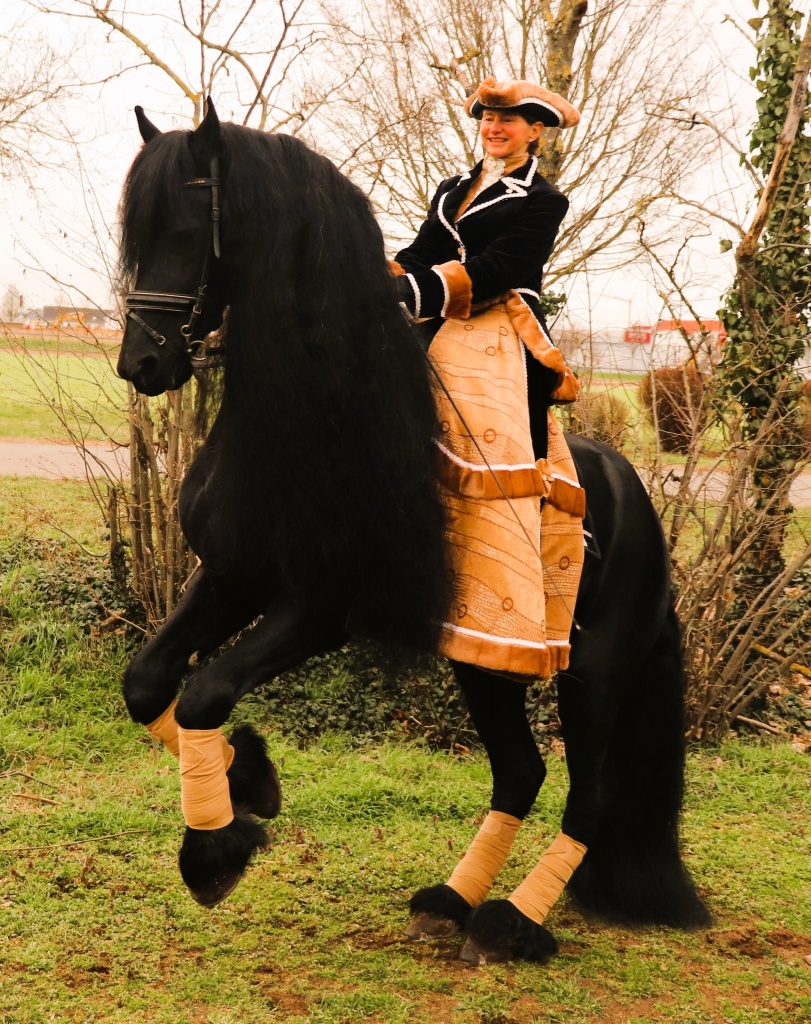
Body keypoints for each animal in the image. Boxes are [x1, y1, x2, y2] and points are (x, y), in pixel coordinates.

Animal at [115, 99, 711, 964]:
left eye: (189, 231)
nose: (141, 364)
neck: (306, 420)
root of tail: (635, 499)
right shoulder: (231, 576)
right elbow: (149, 683)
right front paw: (246, 783)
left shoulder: (318, 611)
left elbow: (203, 693)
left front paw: (215, 850)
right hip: (485, 665)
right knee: (520, 774)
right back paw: (450, 905)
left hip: (591, 673)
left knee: (588, 799)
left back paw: (512, 921)